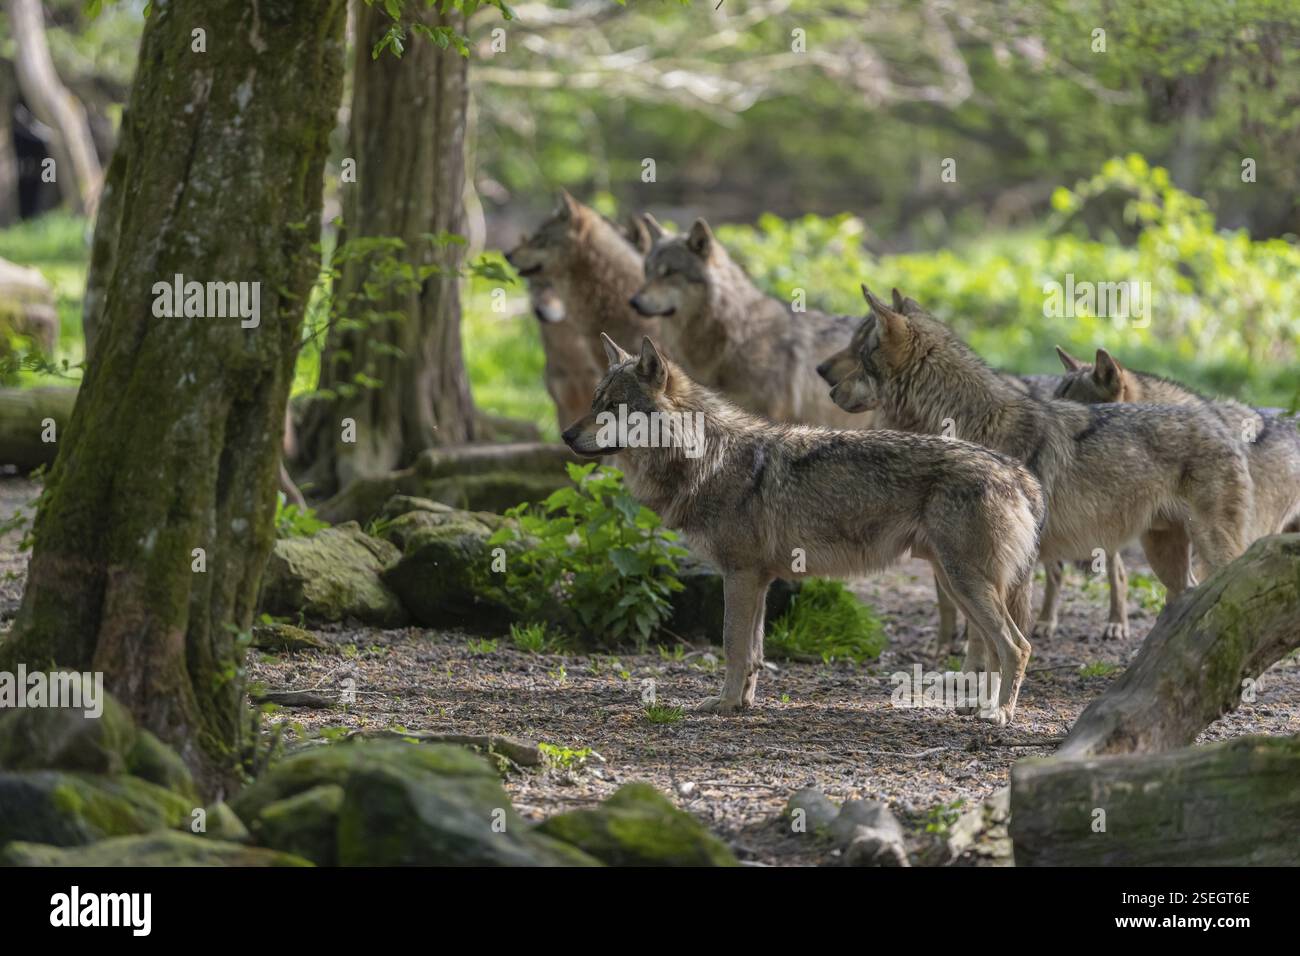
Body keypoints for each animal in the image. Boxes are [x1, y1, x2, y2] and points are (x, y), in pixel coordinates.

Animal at [562, 333, 1047, 725]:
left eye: (613, 409)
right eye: (595, 403)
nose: (566, 435)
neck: (706, 458)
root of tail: (1017, 472)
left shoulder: (739, 575)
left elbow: (733, 646)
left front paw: (722, 704)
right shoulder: (758, 580)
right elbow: (754, 653)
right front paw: (742, 704)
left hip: (966, 584)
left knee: (1017, 646)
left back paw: (1000, 714)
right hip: (957, 584)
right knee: (994, 647)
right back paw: (978, 706)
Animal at [818, 287, 1257, 653]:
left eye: (863, 359)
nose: (830, 389)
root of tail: (1214, 415)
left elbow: (995, 638)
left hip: (1206, 548)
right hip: (1162, 552)